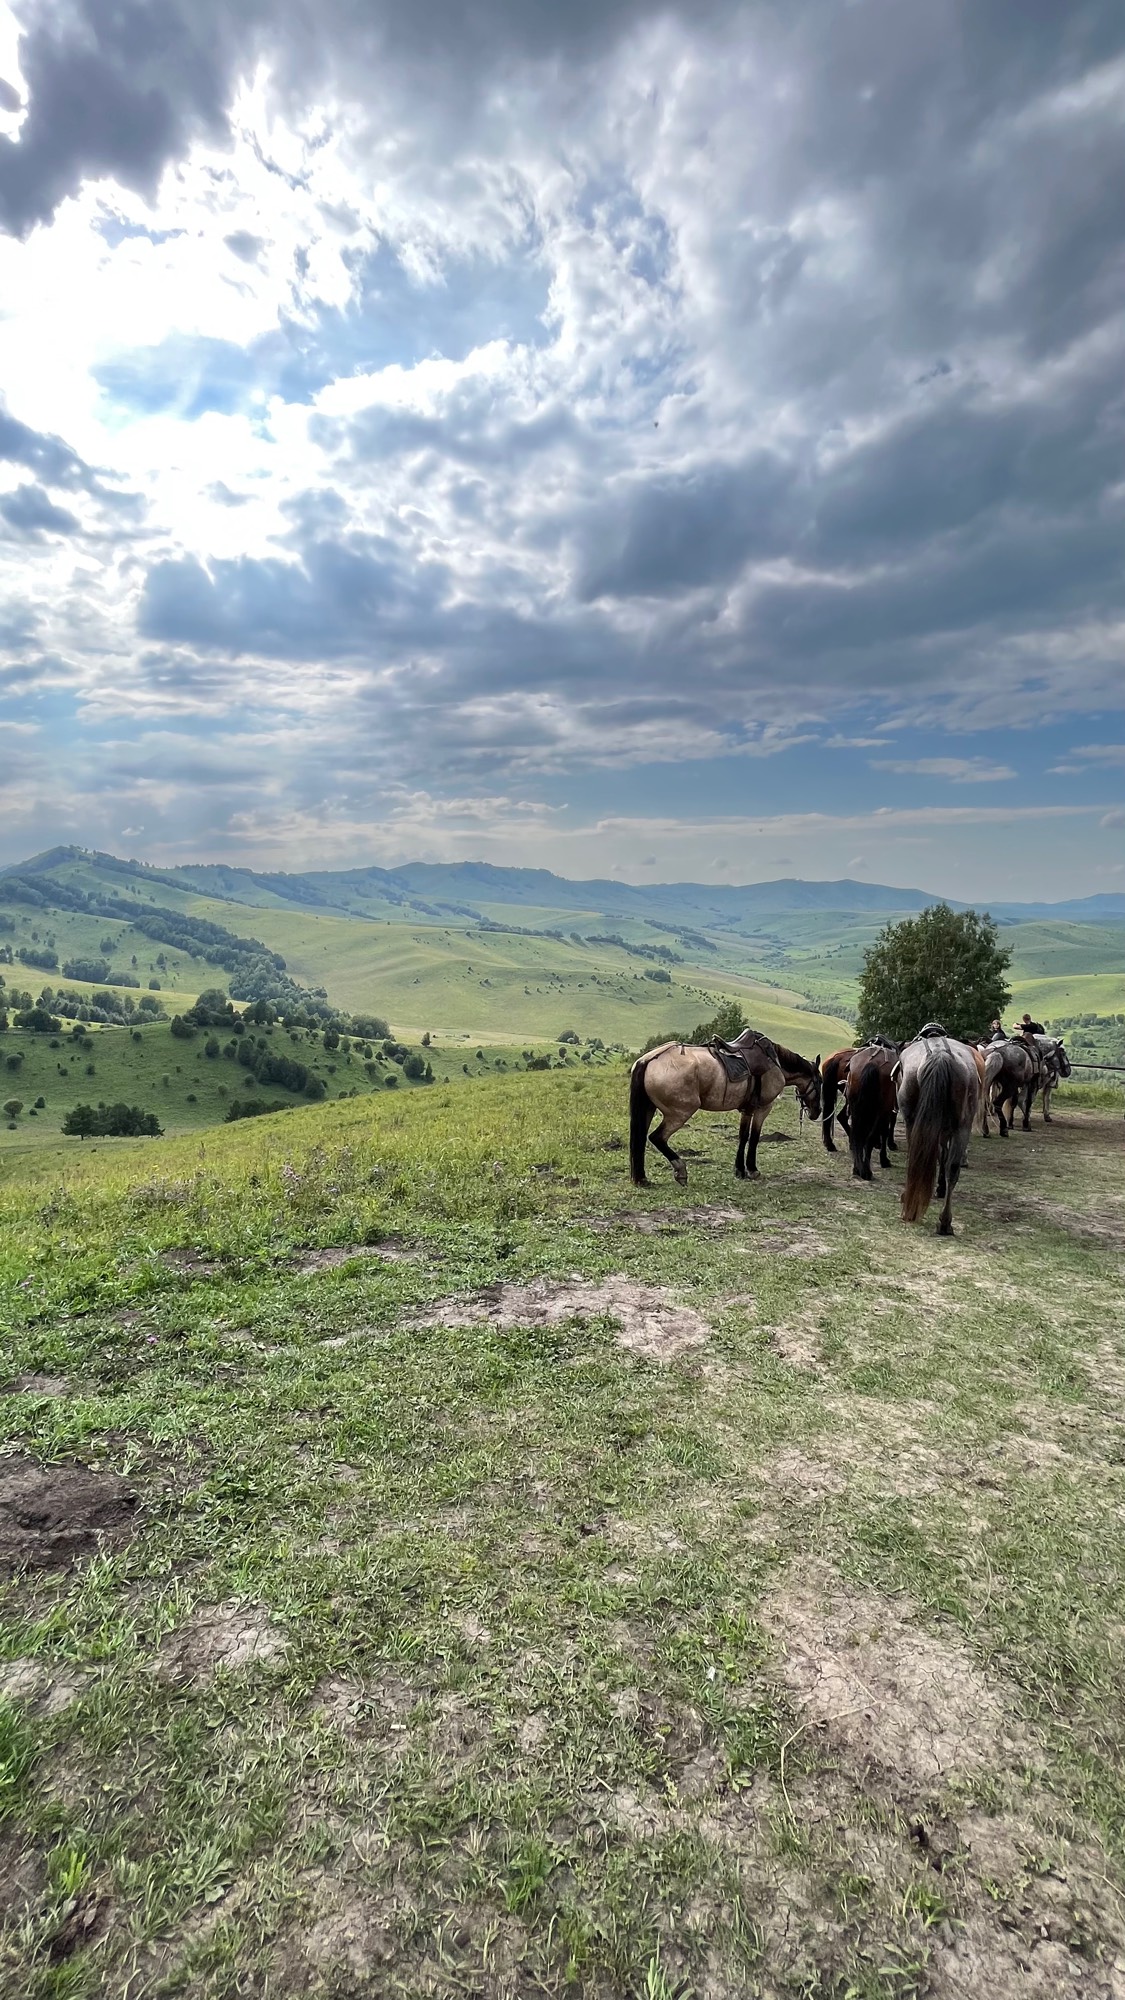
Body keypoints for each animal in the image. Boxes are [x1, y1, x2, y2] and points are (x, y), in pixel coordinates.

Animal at [624, 1032, 820, 1184]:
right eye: (820, 1082)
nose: (816, 1113)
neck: (776, 1063)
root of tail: (648, 1059)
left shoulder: (747, 1110)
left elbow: (743, 1136)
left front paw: (740, 1170)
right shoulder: (763, 1108)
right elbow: (753, 1138)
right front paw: (751, 1169)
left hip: (648, 1109)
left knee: (641, 1138)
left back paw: (641, 1178)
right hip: (680, 1113)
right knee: (657, 1137)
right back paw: (680, 1170)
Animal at [840, 1040, 892, 1176]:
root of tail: (871, 1063)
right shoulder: (886, 1112)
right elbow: (884, 1132)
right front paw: (884, 1159)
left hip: (855, 1108)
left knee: (857, 1134)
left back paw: (857, 1168)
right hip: (878, 1111)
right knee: (870, 1137)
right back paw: (866, 1171)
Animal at [888, 1032, 976, 1232]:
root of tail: (940, 1055)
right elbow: (943, 1156)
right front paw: (940, 1186)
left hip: (914, 1121)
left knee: (916, 1157)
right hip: (962, 1126)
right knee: (953, 1167)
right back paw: (945, 1222)